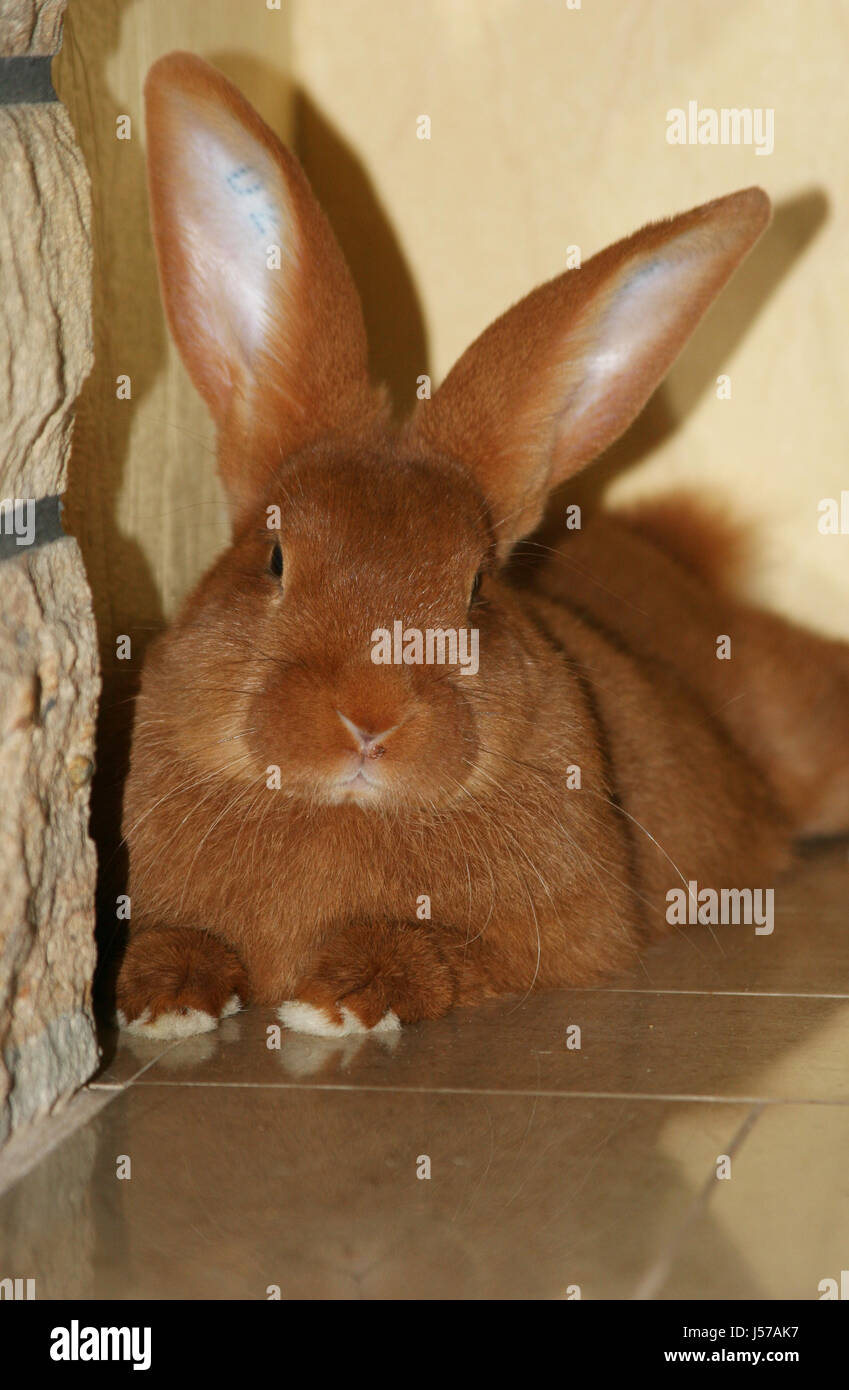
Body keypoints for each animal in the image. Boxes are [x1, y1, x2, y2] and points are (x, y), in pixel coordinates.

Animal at [115, 52, 849, 1041]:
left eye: (473, 588)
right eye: (274, 558)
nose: (369, 718)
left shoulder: (555, 939)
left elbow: (440, 951)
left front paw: (337, 998)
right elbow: (175, 940)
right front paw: (166, 1003)